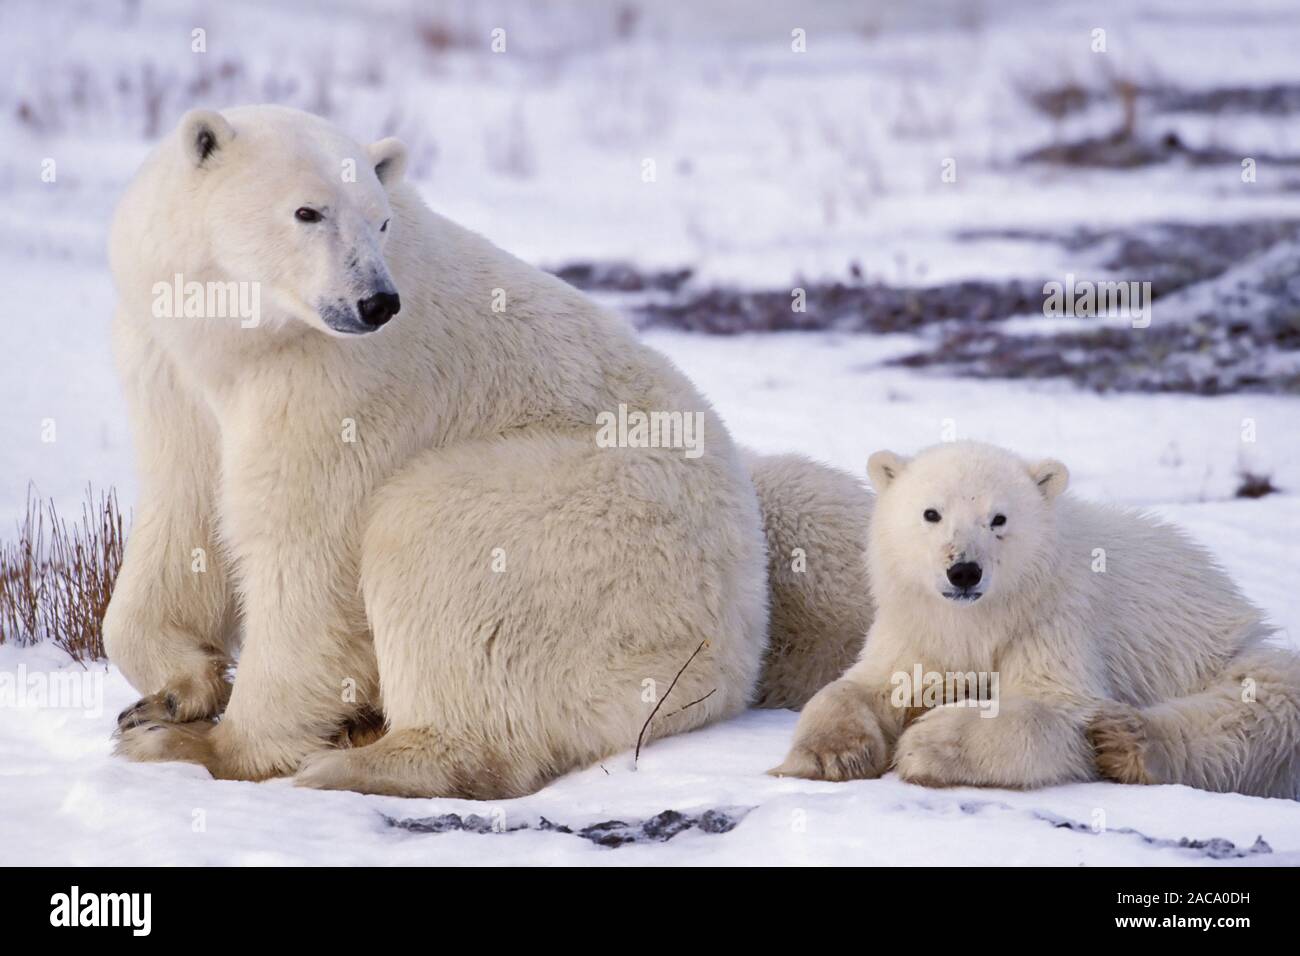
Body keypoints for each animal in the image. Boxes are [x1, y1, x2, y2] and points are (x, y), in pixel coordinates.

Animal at [103, 104, 872, 797]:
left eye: (381, 220)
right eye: (308, 212)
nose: (377, 302)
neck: (242, 340)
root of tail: (740, 635)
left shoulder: (338, 385)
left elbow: (306, 552)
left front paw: (206, 743)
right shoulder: (169, 362)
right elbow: (182, 507)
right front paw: (173, 691)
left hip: (610, 537)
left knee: (436, 538)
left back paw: (370, 760)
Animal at [771, 440, 1300, 798]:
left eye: (999, 519)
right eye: (931, 513)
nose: (964, 570)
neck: (981, 616)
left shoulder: (1054, 620)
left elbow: (1056, 709)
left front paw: (928, 742)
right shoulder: (919, 626)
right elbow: (865, 683)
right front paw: (829, 754)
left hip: (1220, 652)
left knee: (1260, 699)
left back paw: (1128, 741)